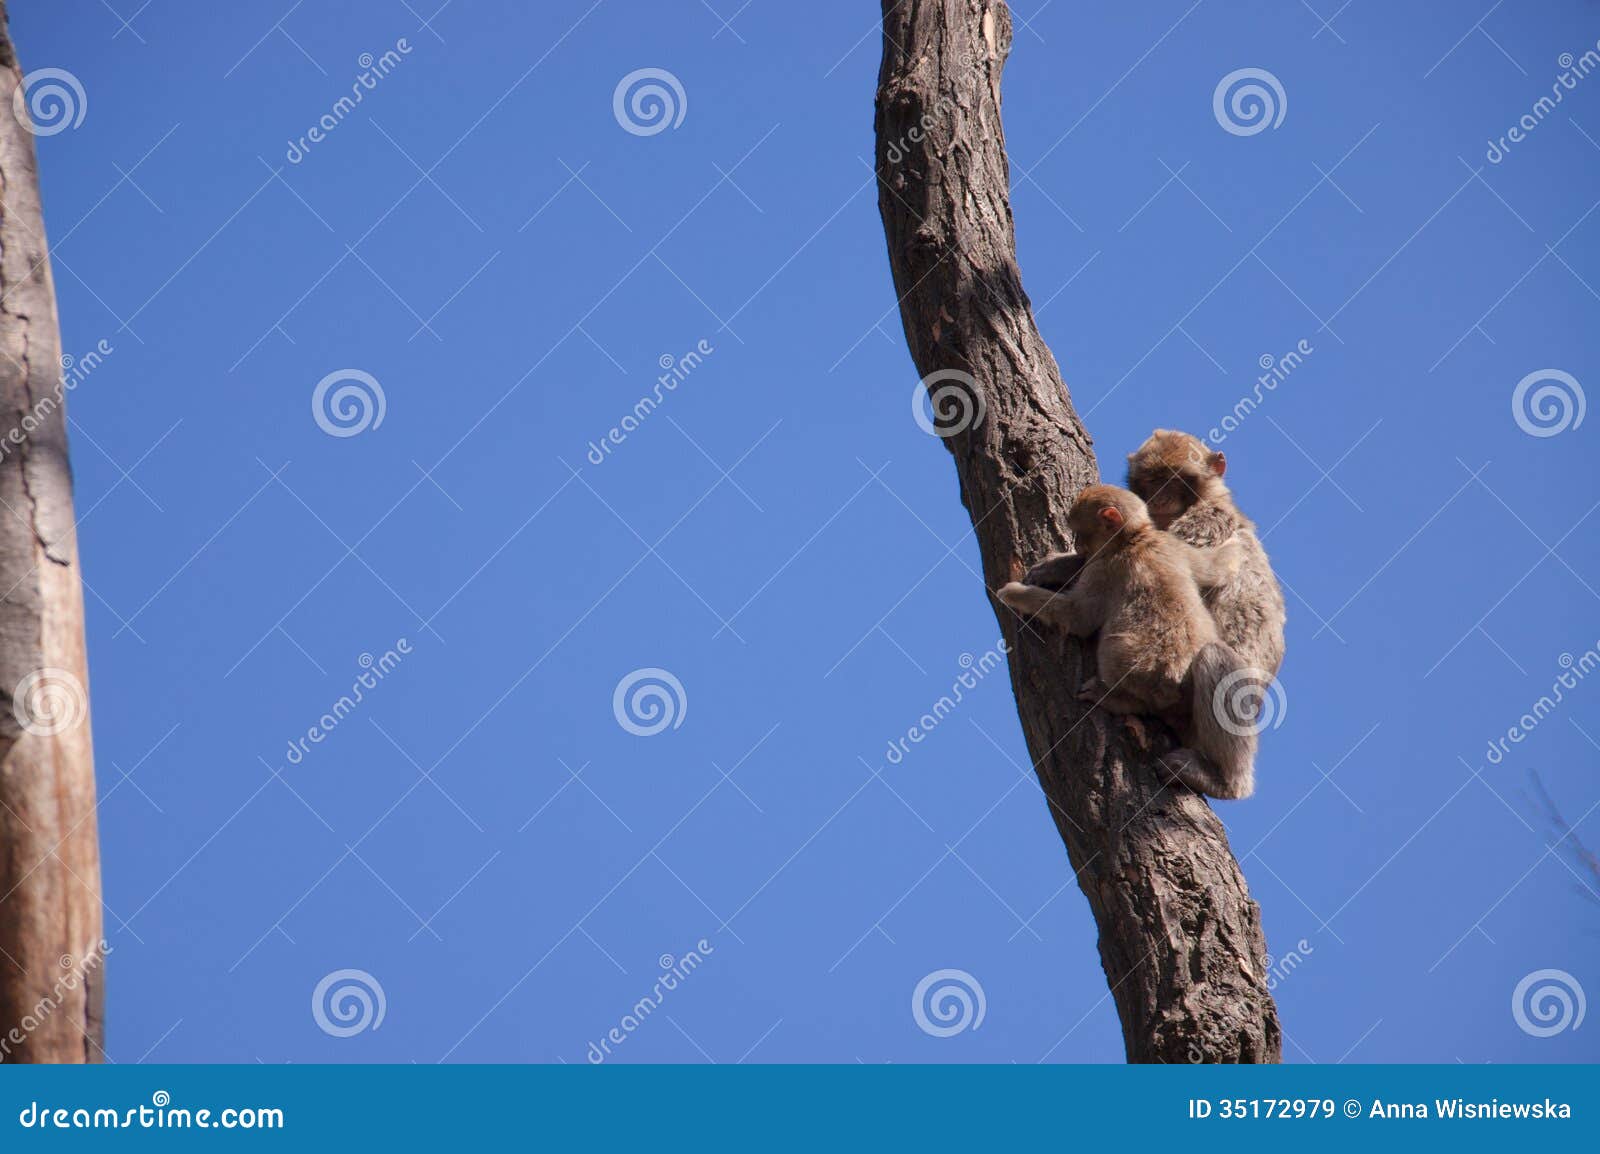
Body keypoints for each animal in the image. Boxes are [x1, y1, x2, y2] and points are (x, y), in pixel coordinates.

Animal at [996, 485, 1258, 799]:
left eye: (1080, 531)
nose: (1079, 546)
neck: (1136, 539)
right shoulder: (1172, 545)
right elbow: (1217, 567)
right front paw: (1237, 543)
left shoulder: (1104, 568)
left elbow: (1078, 617)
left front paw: (1015, 594)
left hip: (1150, 685)